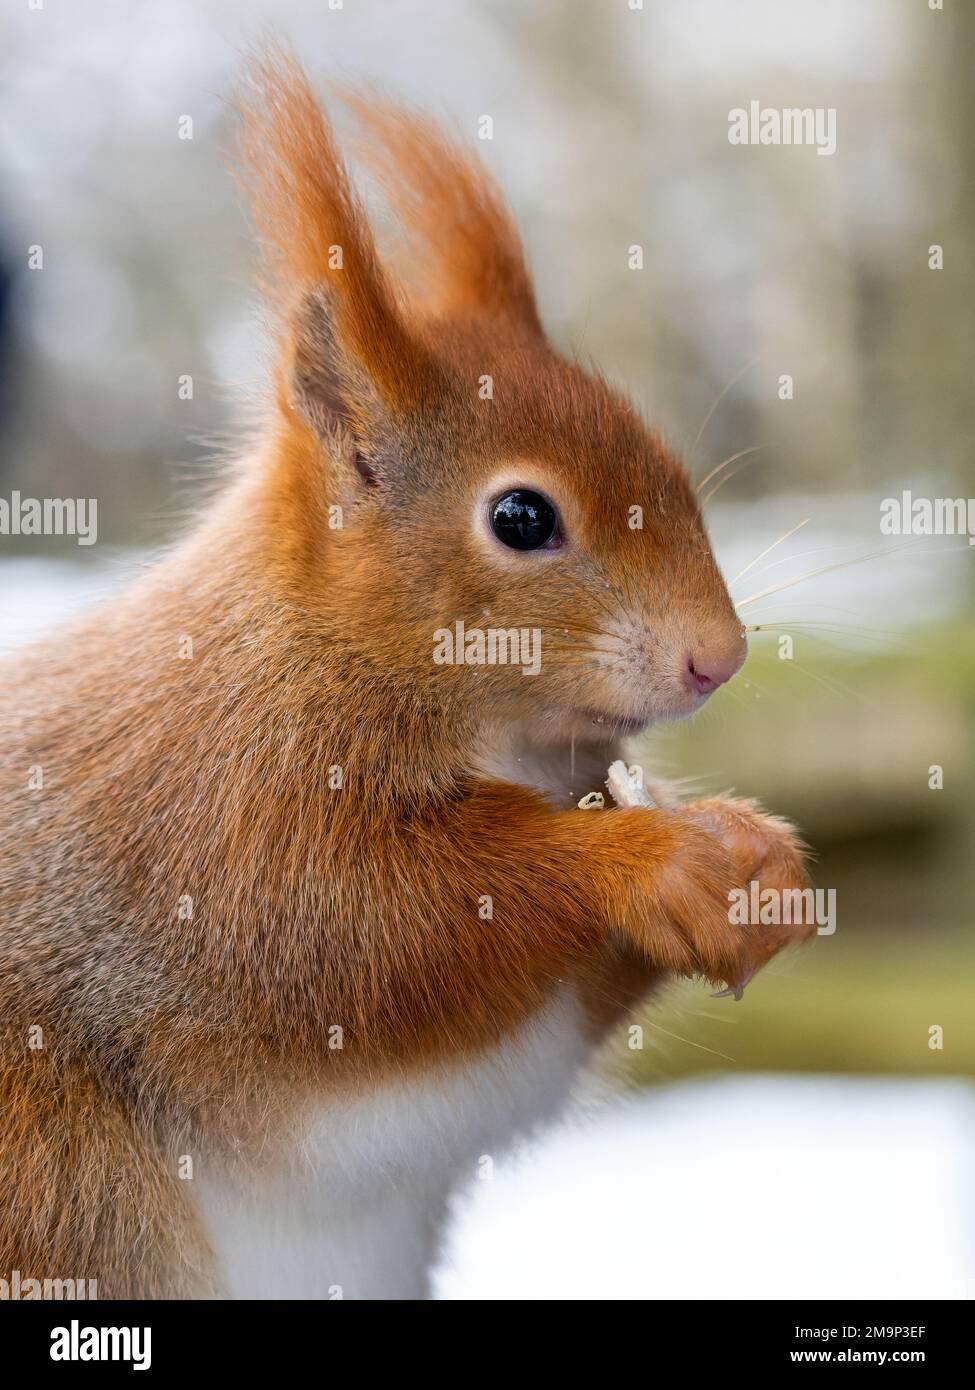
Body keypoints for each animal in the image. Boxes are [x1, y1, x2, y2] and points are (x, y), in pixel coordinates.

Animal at [0, 51, 811, 1299]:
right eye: (521, 517)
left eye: (670, 461)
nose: (716, 658)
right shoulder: (218, 828)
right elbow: (371, 935)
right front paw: (656, 862)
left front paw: (758, 863)